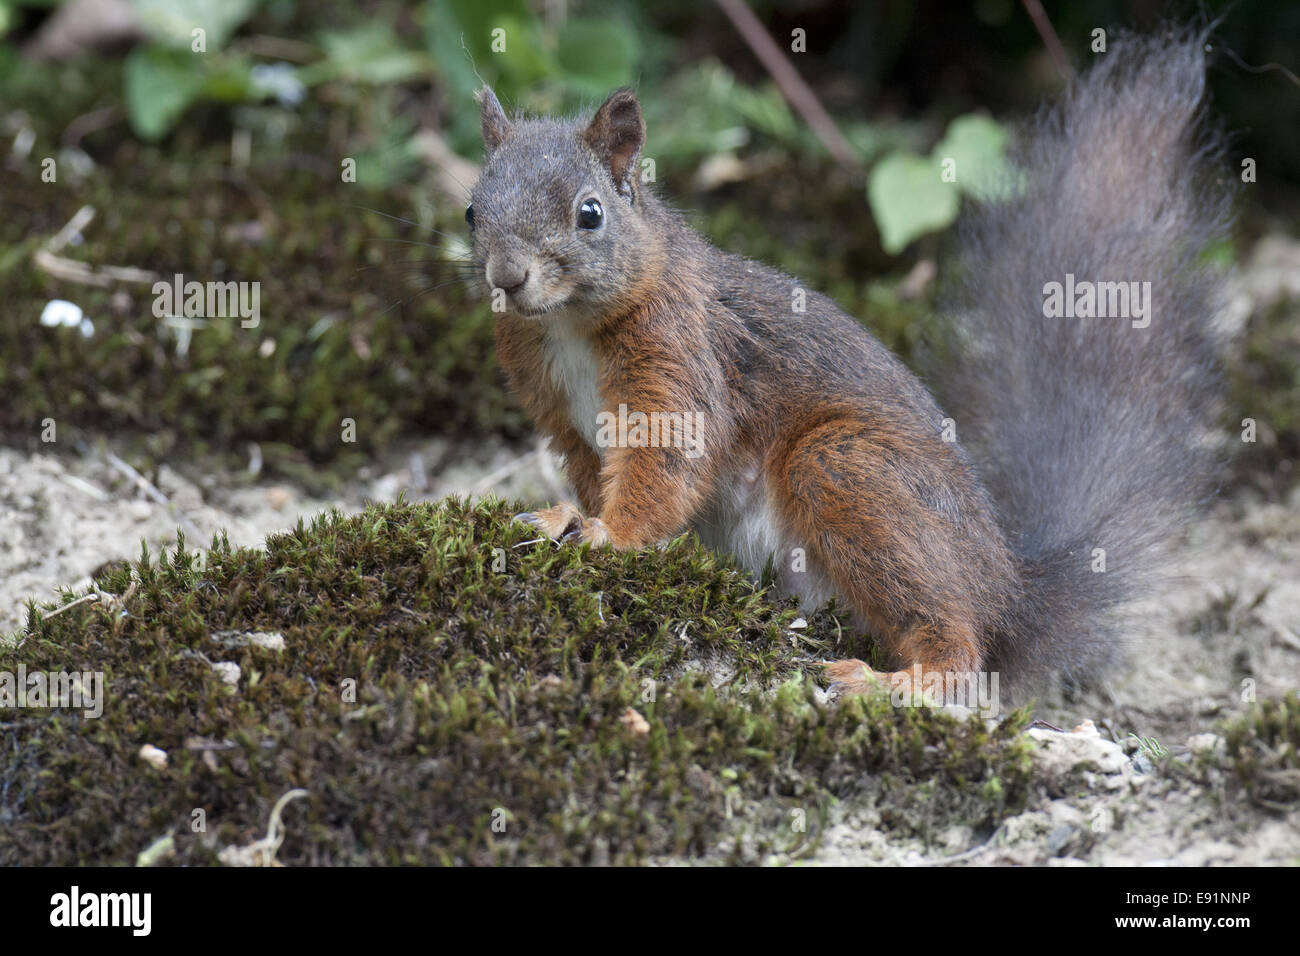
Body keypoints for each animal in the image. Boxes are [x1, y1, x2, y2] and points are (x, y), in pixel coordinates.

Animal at [464, 27, 1231, 698]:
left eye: (590, 213)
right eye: (472, 209)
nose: (507, 278)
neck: (567, 324)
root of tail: (1009, 590)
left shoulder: (680, 360)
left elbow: (665, 467)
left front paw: (607, 535)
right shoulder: (563, 417)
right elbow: (594, 472)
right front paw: (563, 514)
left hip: (848, 469)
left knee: (958, 645)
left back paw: (896, 681)